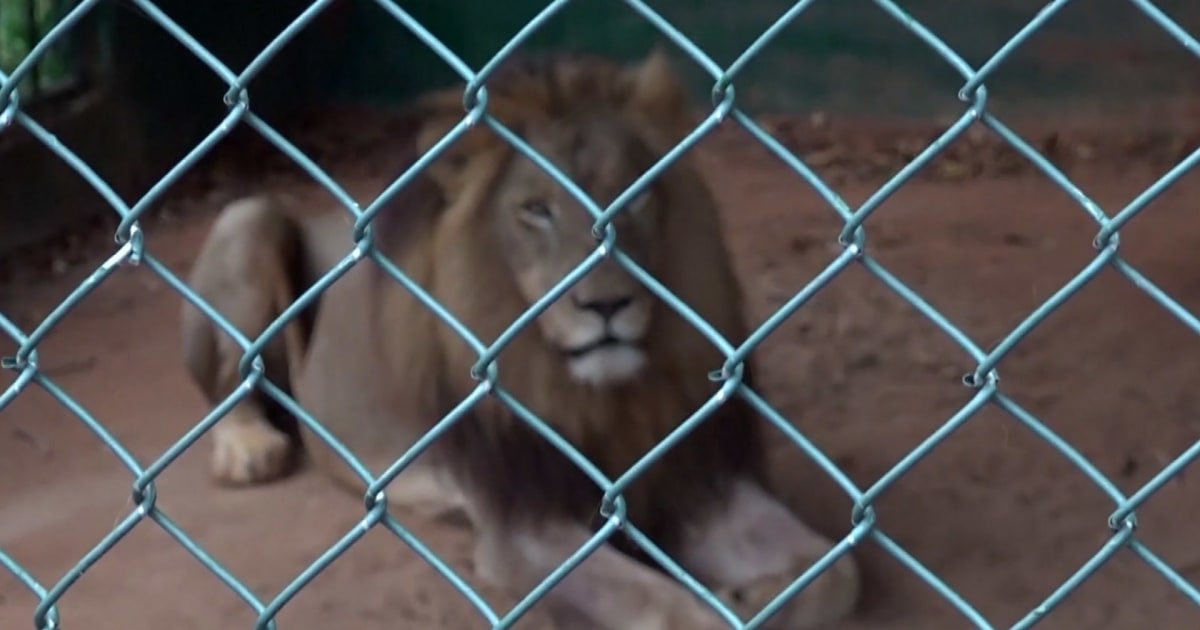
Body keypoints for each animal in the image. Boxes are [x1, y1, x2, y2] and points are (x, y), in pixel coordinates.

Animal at [179, 48, 861, 629]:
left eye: (636, 198)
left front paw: (759, 593)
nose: (606, 305)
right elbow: (670, 610)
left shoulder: (692, 477)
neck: (600, 400)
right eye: (537, 210)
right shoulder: (523, 526)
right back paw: (249, 448)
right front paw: (727, 603)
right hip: (249, 219)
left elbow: (837, 570)